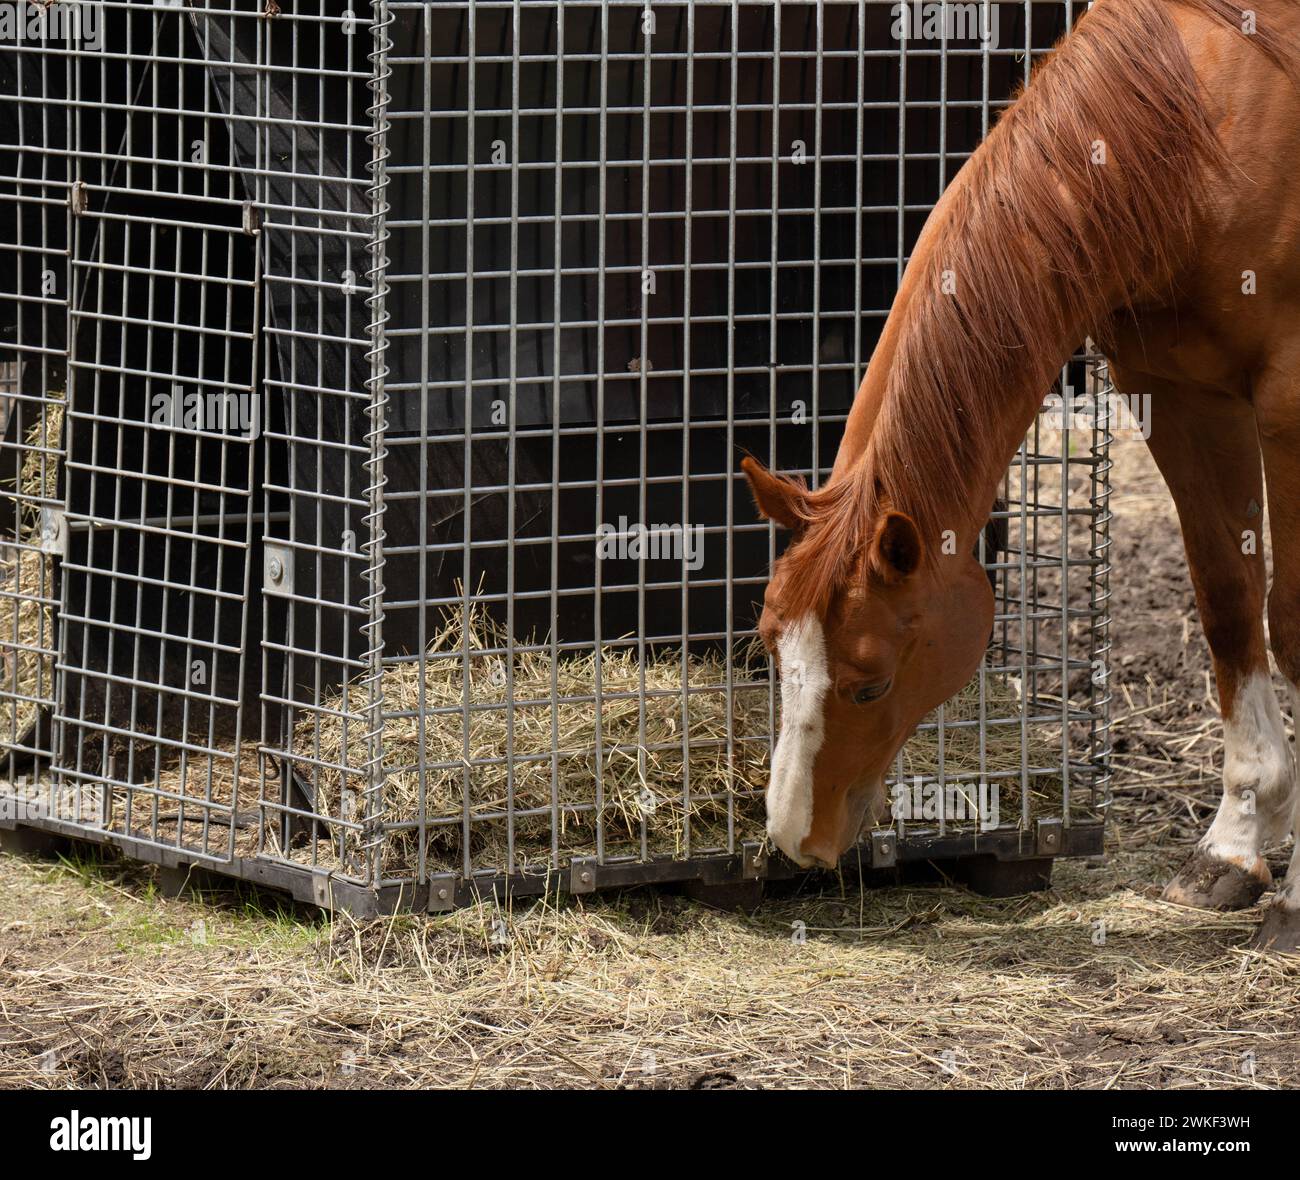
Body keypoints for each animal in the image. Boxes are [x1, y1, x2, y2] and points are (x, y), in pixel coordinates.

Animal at [741, 0, 1300, 950]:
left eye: (869, 682)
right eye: (772, 647)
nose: (793, 835)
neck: (1214, 109)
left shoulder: (1290, 405)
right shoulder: (1177, 393)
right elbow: (1229, 602)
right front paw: (1234, 847)